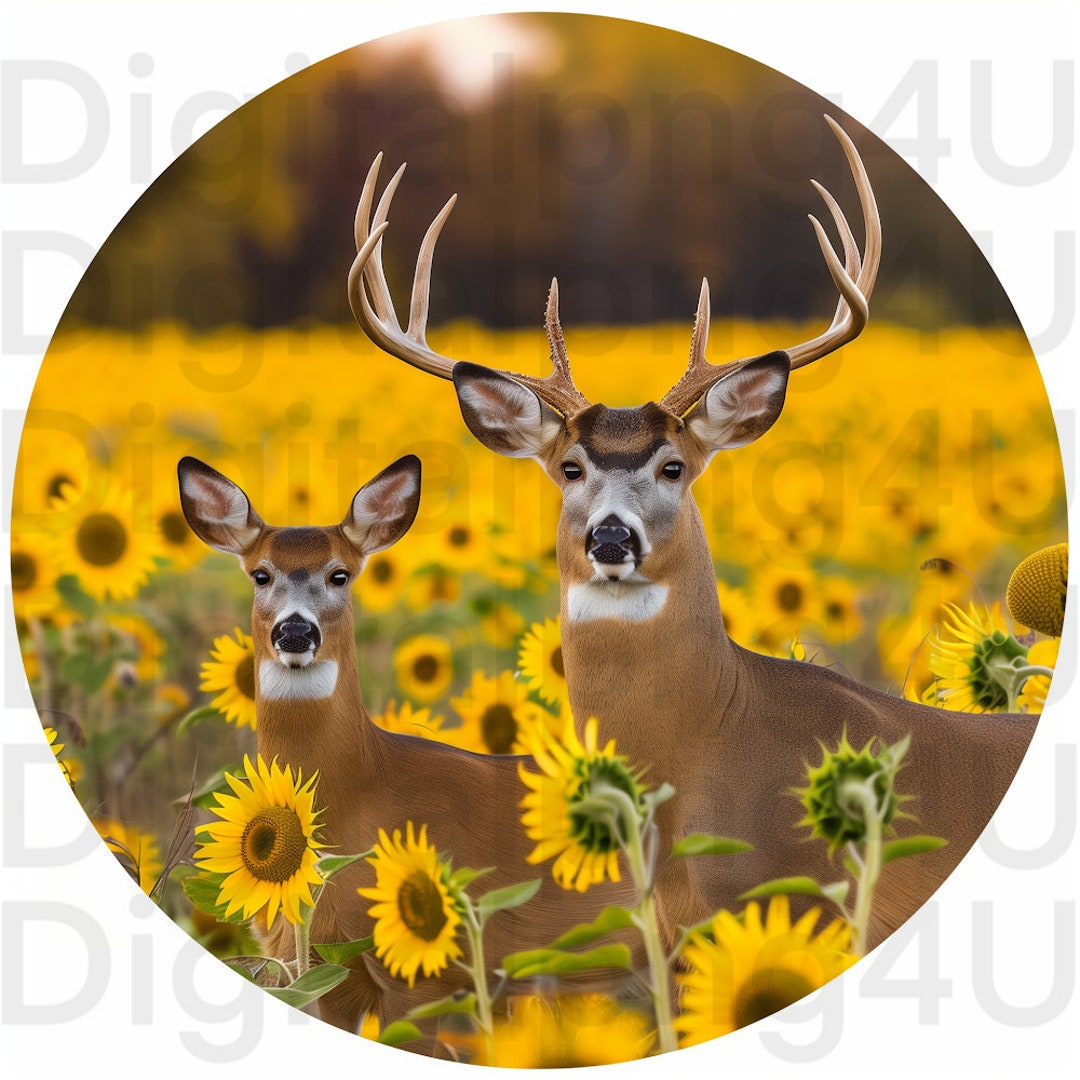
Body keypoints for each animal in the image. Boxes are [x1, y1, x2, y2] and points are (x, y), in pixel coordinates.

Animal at [177, 454, 643, 1038]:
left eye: (340, 574)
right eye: (261, 574)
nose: (296, 632)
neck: (361, 795)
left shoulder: (426, 971)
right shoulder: (327, 969)